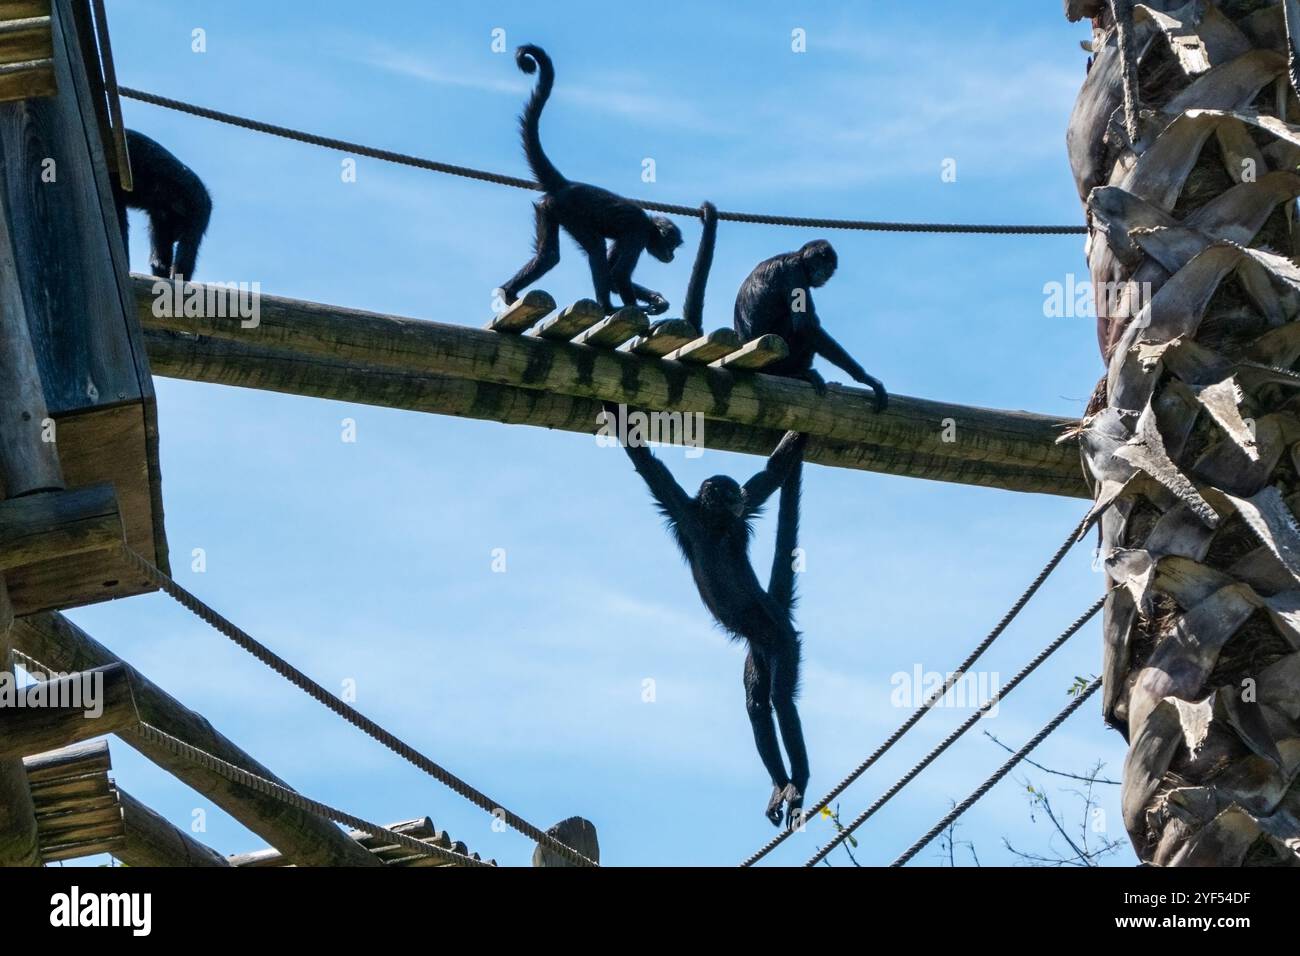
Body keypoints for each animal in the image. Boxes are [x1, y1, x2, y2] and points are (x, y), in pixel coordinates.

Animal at [498, 45, 683, 316]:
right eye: (672, 245)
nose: (672, 256)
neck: (649, 224)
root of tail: (566, 184)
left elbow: (613, 274)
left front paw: (658, 301)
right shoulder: (637, 232)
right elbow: (618, 275)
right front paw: (635, 309)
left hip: (549, 208)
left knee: (548, 255)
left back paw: (508, 291)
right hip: (571, 213)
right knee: (595, 247)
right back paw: (607, 306)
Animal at [605, 401, 810, 826]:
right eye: (728, 493)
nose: (737, 498)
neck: (714, 526)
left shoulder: (733, 517)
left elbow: (773, 472)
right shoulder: (684, 511)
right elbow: (641, 454)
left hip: (782, 638)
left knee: (781, 700)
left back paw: (798, 782)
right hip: (758, 651)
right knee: (757, 706)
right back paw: (780, 784)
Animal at [733, 241, 888, 412]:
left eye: (828, 267)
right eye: (818, 262)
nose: (822, 271)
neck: (797, 258)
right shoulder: (794, 272)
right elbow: (805, 326)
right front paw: (867, 379)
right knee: (794, 322)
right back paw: (794, 373)